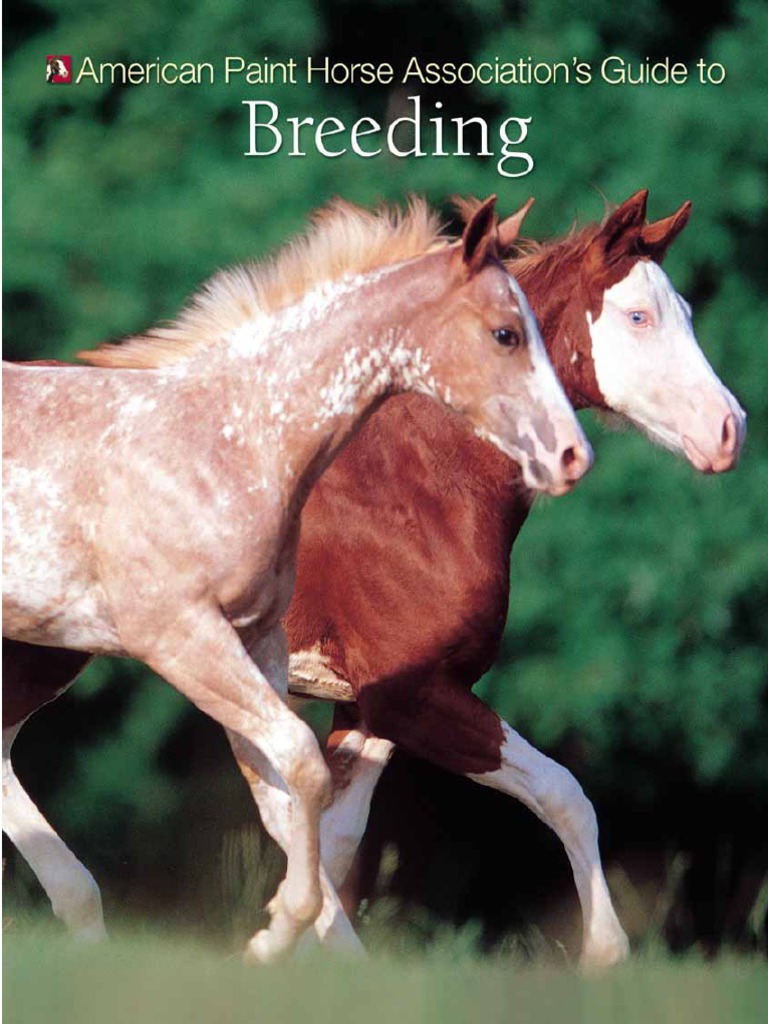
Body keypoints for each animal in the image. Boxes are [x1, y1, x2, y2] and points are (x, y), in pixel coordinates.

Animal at [2, 195, 591, 961]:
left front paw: (281, 933)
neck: (232, 440)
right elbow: (299, 763)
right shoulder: (180, 640)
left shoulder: (260, 642)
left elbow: (286, 787)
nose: (571, 453)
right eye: (505, 334)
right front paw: (279, 930)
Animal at [269, 189, 745, 968]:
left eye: (686, 311)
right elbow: (564, 793)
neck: (410, 486)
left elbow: (331, 843)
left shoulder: (366, 710)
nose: (730, 428)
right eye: (637, 316)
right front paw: (606, 954)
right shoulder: (414, 698)